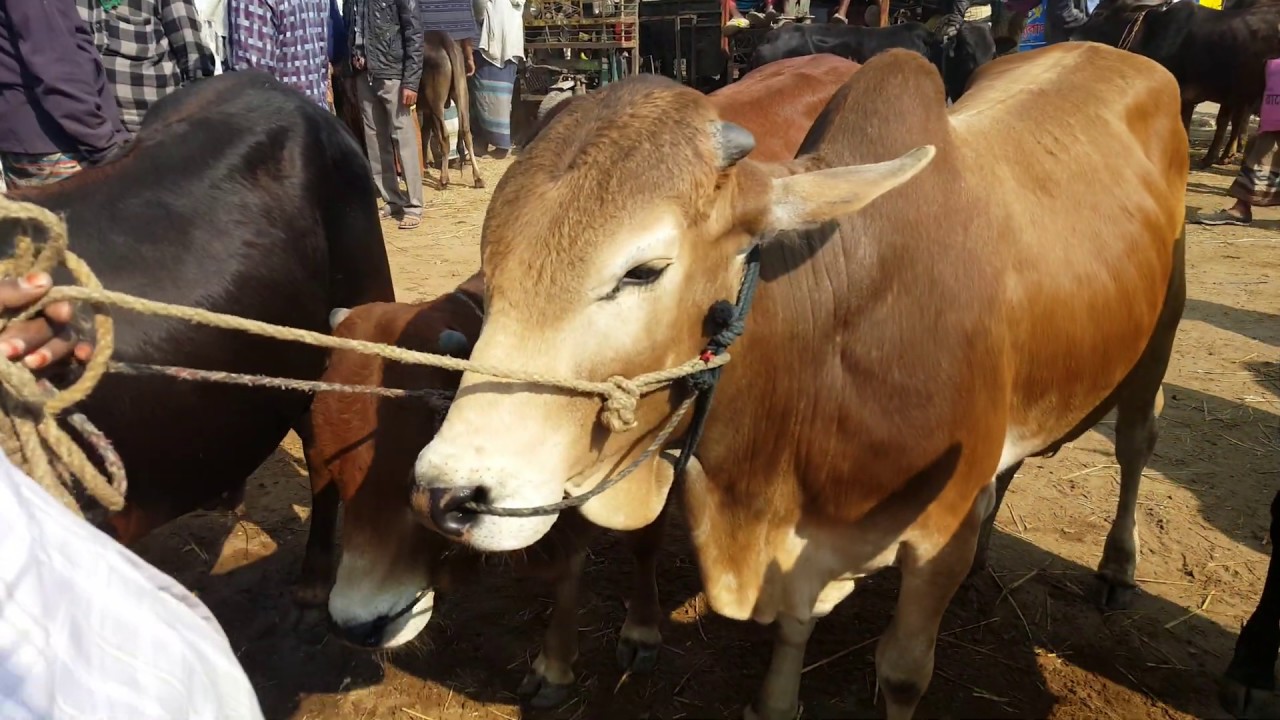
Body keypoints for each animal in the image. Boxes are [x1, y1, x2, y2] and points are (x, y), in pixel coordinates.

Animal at [312, 52, 862, 707]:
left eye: (402, 478)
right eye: (331, 474)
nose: (358, 624)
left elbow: (643, 537)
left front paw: (641, 630)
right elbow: (567, 559)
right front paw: (555, 661)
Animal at [409, 43, 1188, 720]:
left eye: (643, 271)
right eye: (493, 263)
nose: (447, 495)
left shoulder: (932, 540)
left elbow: (902, 674)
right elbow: (792, 626)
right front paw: (775, 701)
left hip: (1162, 331)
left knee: (1138, 442)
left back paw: (1118, 567)